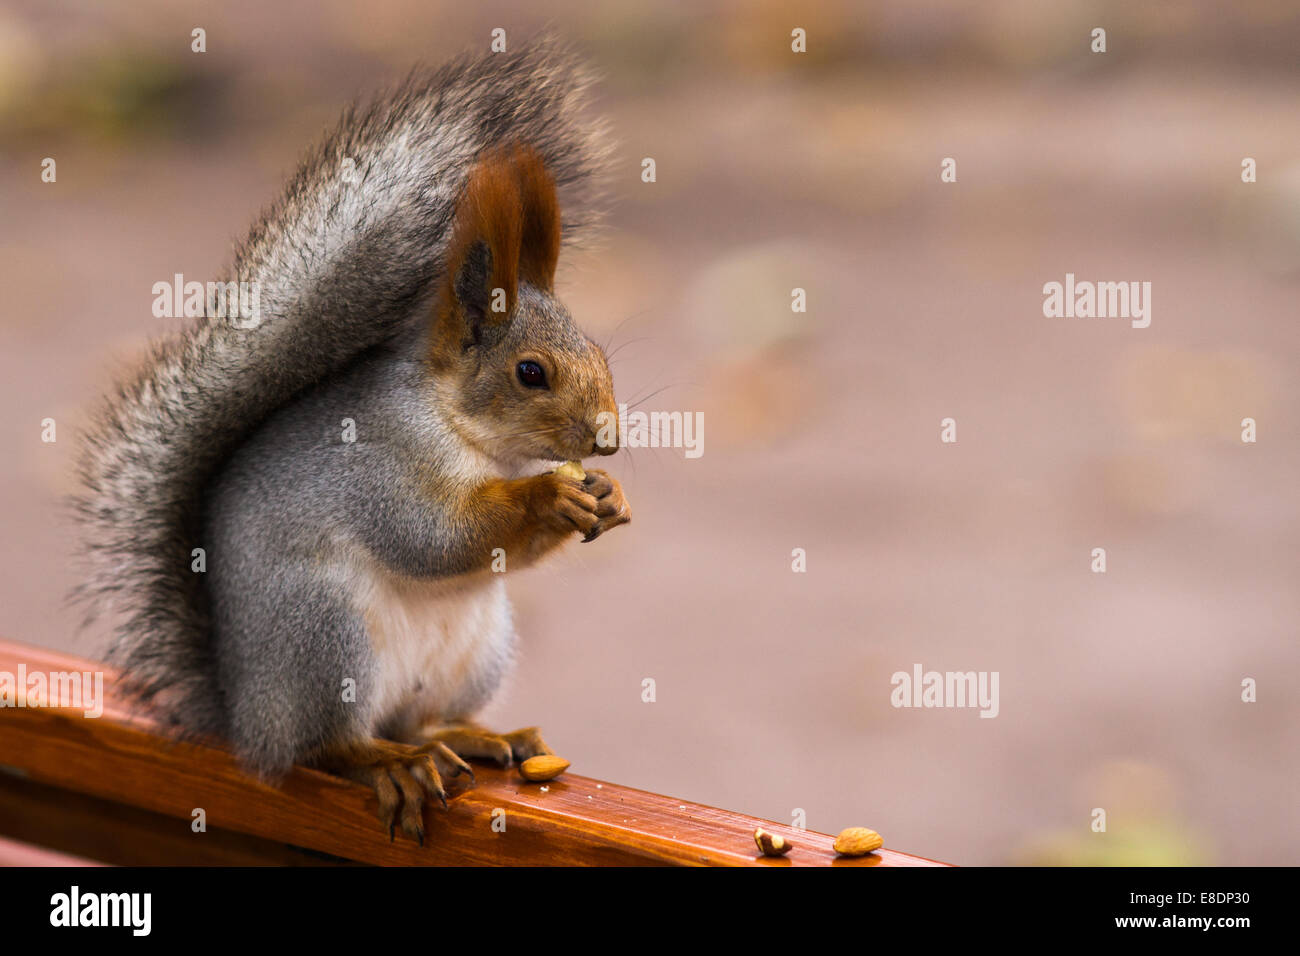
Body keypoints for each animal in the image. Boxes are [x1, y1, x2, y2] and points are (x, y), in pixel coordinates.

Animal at [72, 38, 630, 842]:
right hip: (322, 634)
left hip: (478, 650)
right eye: (531, 373)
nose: (609, 441)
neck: (472, 433)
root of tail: (245, 721)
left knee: (416, 720)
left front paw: (609, 496)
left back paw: (471, 737)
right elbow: (431, 536)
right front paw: (551, 493)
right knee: (328, 747)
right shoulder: (380, 463)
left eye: (601, 355)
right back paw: (391, 764)